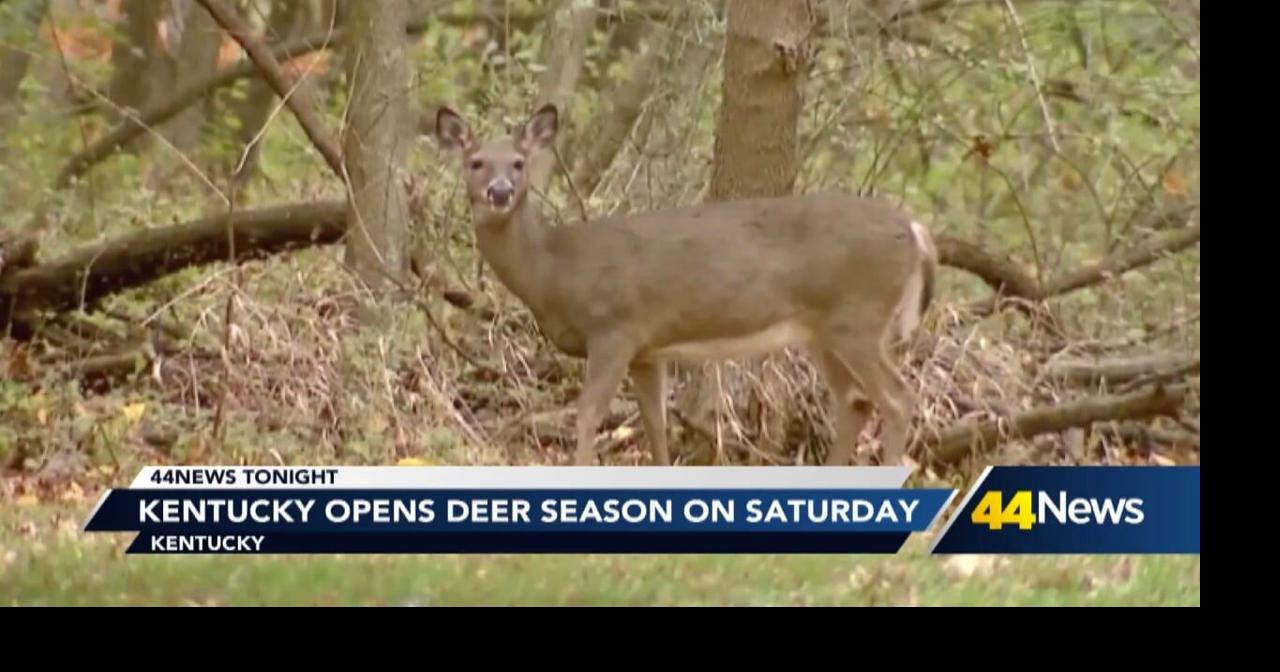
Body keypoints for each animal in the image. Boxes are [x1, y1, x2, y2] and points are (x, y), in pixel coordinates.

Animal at [432, 103, 938, 467]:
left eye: (519, 163)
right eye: (475, 162)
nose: (500, 191)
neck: (556, 269)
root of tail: (914, 227)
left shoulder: (615, 328)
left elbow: (588, 412)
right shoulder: (646, 350)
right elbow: (654, 422)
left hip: (858, 315)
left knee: (897, 399)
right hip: (824, 330)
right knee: (854, 401)